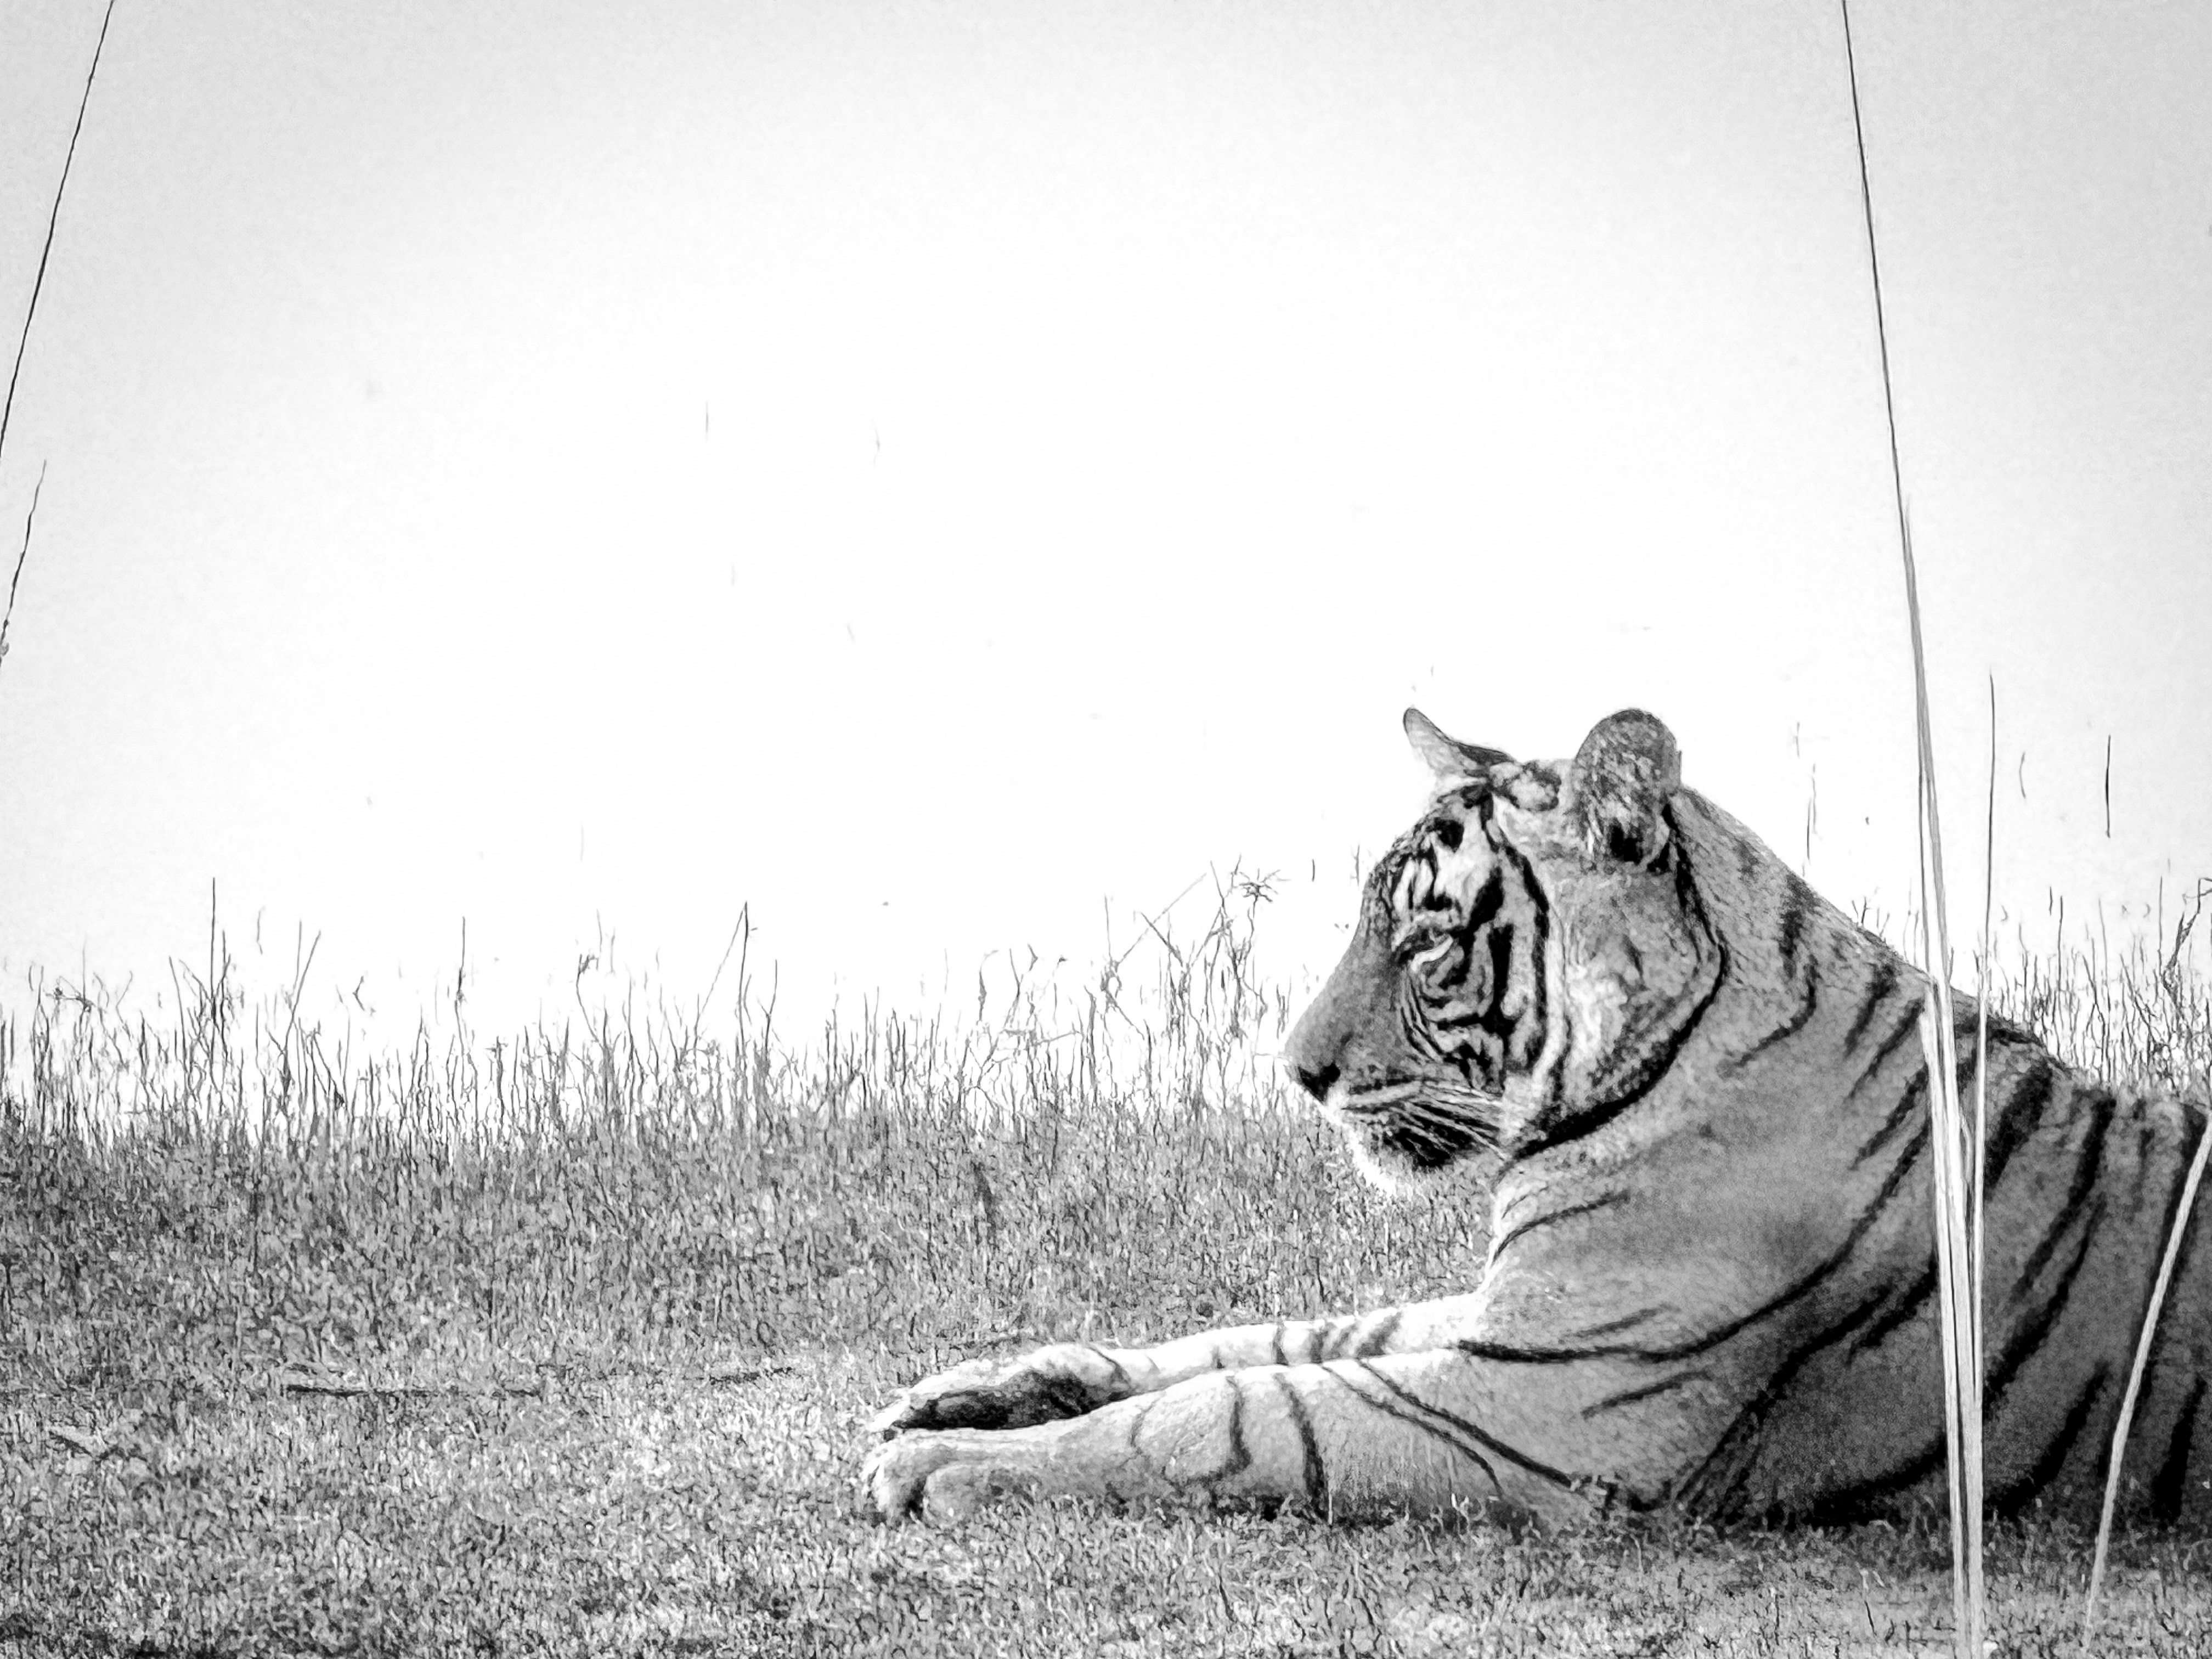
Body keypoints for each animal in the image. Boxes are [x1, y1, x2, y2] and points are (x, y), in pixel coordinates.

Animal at [864, 707, 2212, 1528]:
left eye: (1426, 935)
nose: (1294, 1071)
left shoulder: (1539, 1406)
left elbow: (1234, 1411)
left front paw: (941, 1467)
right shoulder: (1512, 1317)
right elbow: (1264, 1339)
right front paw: (973, 1393)